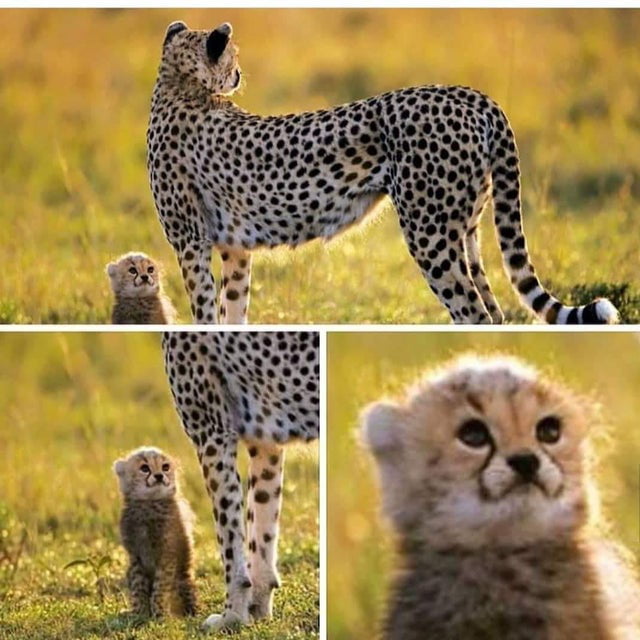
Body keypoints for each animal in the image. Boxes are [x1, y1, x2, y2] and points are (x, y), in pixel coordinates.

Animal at [113, 446, 197, 618]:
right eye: (144, 468)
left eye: (165, 467)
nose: (159, 476)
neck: (149, 503)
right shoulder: (135, 556)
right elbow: (138, 586)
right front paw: (139, 613)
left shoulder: (167, 555)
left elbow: (161, 586)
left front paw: (159, 614)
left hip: (183, 579)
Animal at [146, 20, 619, 325]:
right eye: (234, 57)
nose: (239, 73)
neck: (177, 86)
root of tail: (471, 94)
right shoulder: (233, 248)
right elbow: (231, 314)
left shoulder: (191, 243)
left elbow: (207, 314)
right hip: (467, 228)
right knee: (494, 309)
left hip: (429, 231)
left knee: (473, 311)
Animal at [162, 331, 319, 631]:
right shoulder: (266, 440)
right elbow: (261, 529)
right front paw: (256, 610)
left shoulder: (212, 434)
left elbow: (230, 538)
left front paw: (232, 616)